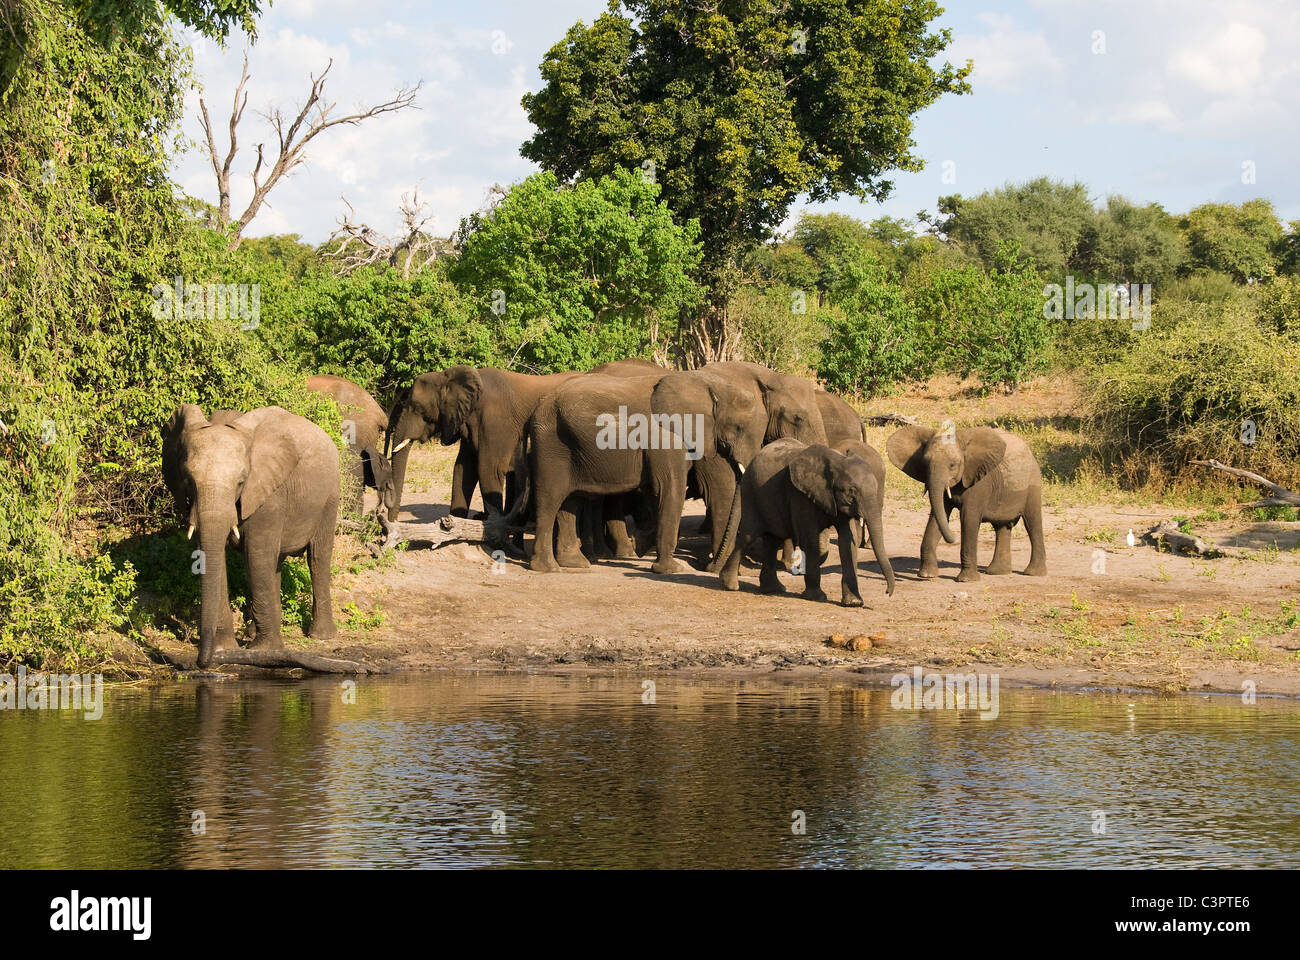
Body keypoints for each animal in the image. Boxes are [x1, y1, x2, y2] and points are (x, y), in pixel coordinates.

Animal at [161, 405, 339, 667]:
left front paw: (265, 651)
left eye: (241, 482)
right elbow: (216, 558)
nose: (202, 663)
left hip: (329, 497)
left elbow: (256, 556)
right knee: (275, 564)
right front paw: (226, 648)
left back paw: (321, 636)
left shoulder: (269, 495)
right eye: (189, 481)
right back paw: (255, 632)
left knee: (317, 558)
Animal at [717, 439, 896, 605]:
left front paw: (854, 603)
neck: (836, 461)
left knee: (773, 540)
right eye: (852, 492)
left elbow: (847, 543)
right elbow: (810, 540)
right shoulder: (800, 495)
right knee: (748, 536)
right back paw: (730, 585)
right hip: (751, 493)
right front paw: (817, 597)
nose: (887, 592)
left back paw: (774, 589)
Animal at [886, 424, 1047, 582]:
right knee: (1002, 526)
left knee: (1032, 522)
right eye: (925, 464)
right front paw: (927, 575)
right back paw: (997, 572)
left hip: (1033, 481)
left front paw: (967, 580)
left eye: (952, 465)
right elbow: (938, 517)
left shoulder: (978, 481)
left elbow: (968, 518)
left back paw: (1033, 573)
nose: (953, 537)